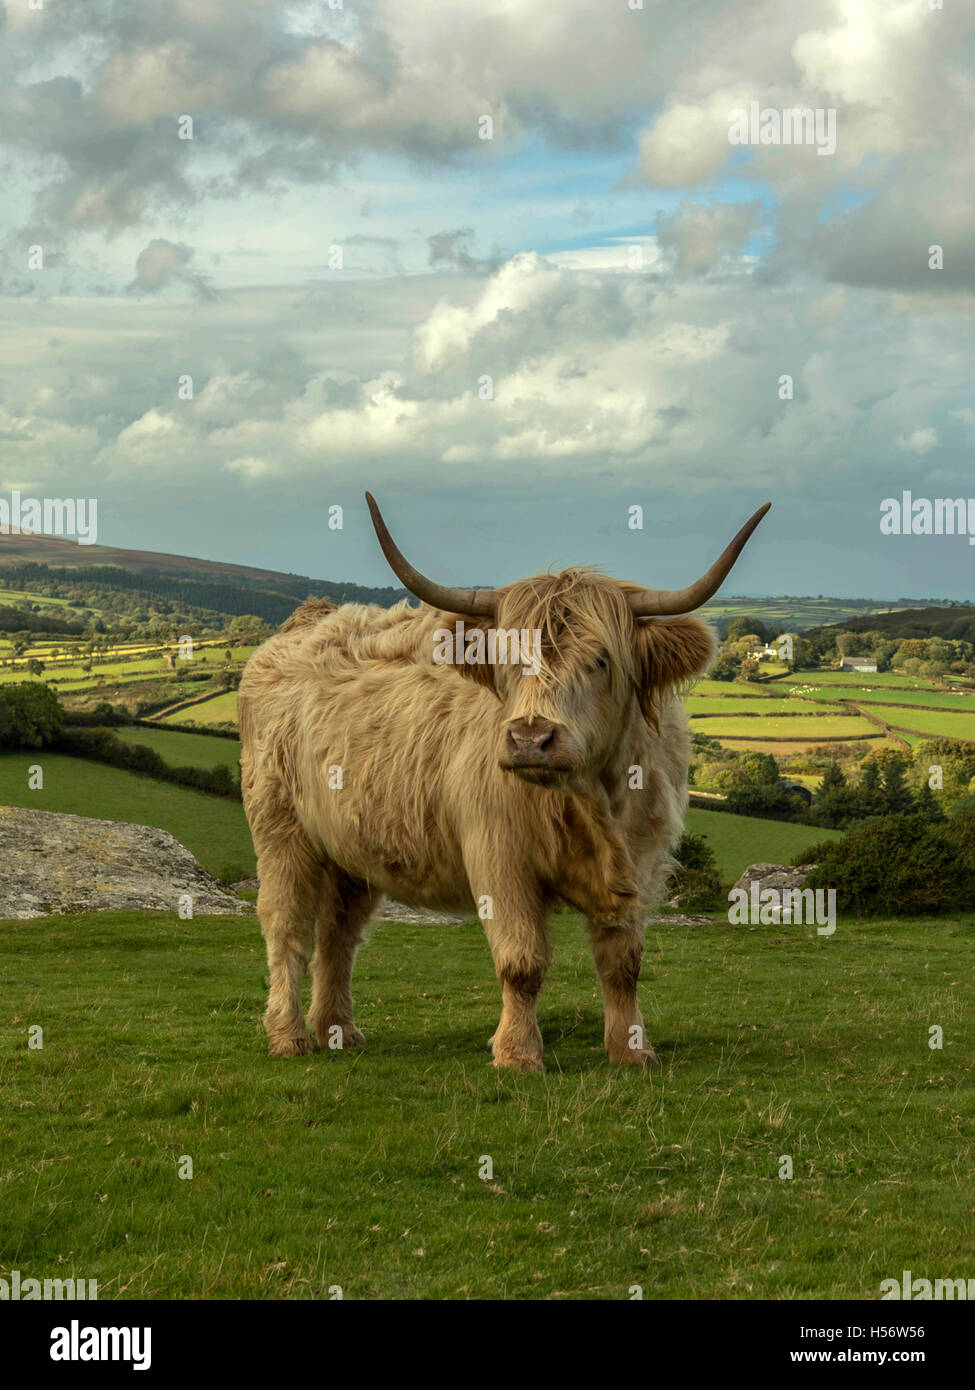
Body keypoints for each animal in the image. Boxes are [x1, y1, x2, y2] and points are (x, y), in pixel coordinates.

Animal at [238, 494, 770, 1071]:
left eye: (601, 659)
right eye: (507, 661)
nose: (530, 738)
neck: (592, 805)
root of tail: (308, 621)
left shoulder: (642, 862)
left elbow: (623, 965)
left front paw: (632, 1051)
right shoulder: (499, 858)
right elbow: (521, 962)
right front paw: (517, 1053)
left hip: (350, 851)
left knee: (339, 934)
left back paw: (337, 1029)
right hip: (282, 831)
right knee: (286, 927)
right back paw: (289, 1034)